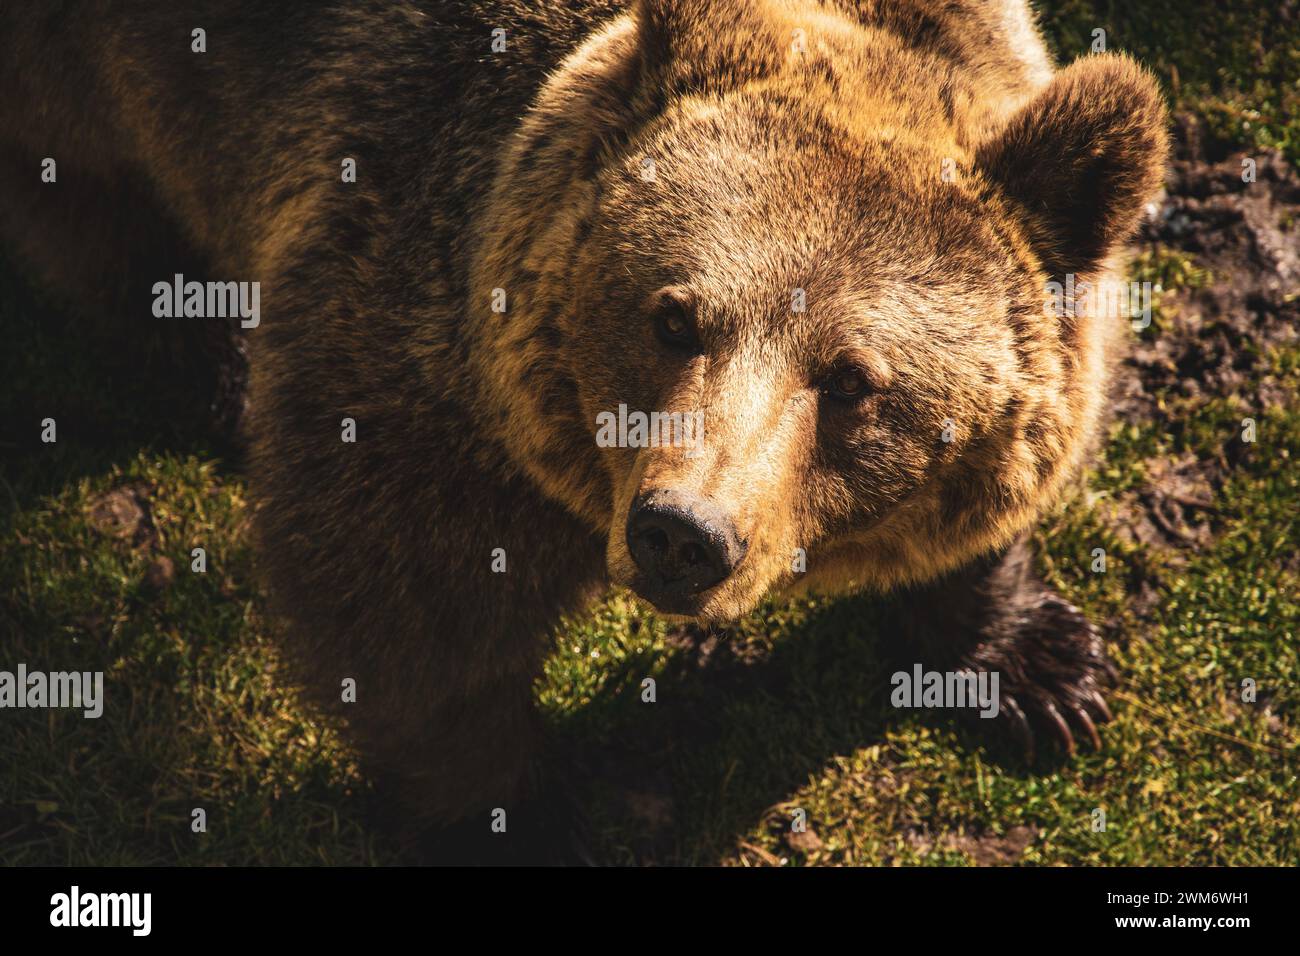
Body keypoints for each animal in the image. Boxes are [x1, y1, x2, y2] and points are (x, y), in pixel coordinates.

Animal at [0, 0, 1168, 852]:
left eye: (851, 381)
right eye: (673, 315)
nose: (682, 533)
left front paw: (1039, 667)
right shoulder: (414, 326)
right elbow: (405, 590)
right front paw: (527, 805)